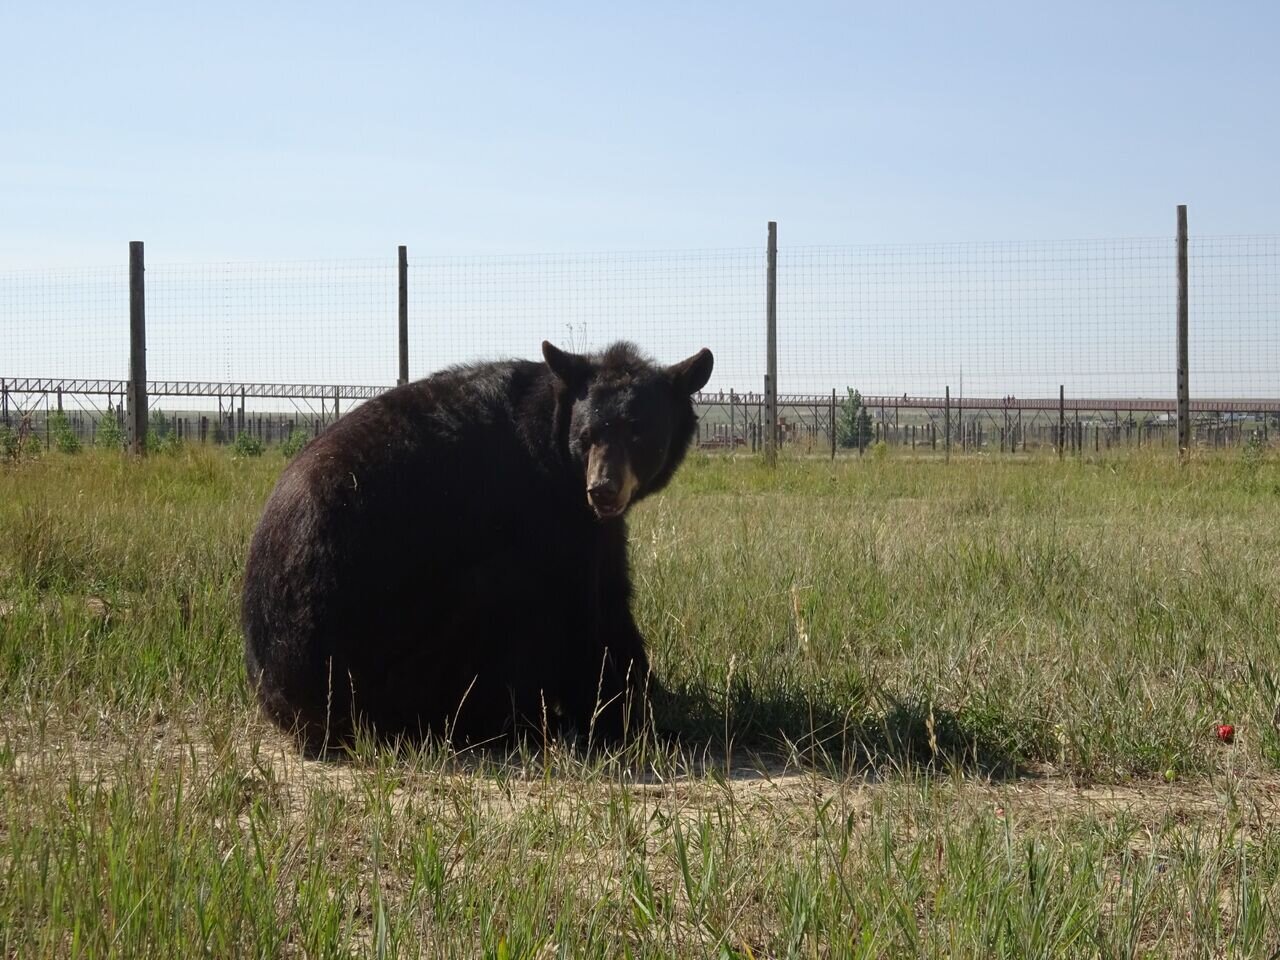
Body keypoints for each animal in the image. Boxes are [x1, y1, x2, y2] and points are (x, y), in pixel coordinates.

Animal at [241, 340, 714, 754]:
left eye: (639, 434)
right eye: (587, 435)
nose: (603, 489)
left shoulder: (591, 522)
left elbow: (613, 594)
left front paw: (653, 698)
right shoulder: (546, 511)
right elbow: (582, 610)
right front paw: (623, 720)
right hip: (408, 660)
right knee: (513, 599)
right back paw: (521, 723)